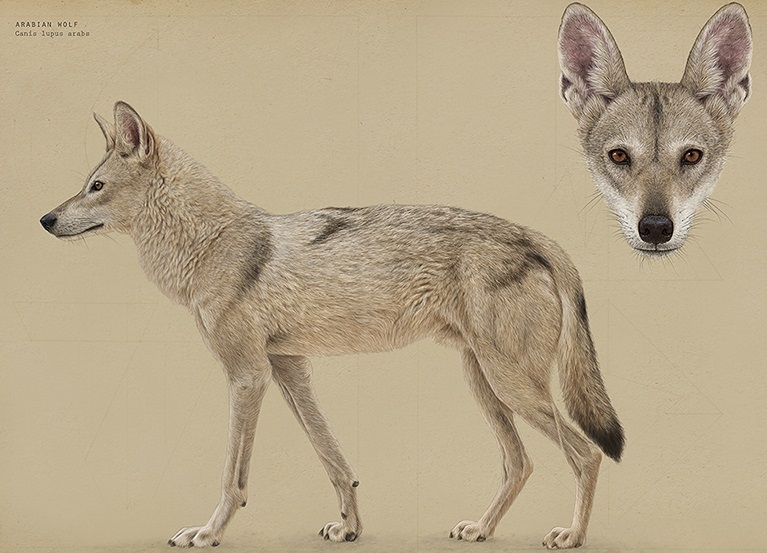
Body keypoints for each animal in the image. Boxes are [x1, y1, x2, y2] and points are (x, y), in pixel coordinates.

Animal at [40, 102, 623, 549]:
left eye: (95, 186)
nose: (45, 219)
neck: (208, 244)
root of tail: (534, 237)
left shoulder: (247, 376)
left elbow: (233, 477)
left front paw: (207, 534)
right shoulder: (287, 370)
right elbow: (335, 461)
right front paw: (351, 529)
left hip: (510, 386)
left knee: (587, 453)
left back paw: (572, 536)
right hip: (485, 384)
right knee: (519, 463)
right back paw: (481, 529)